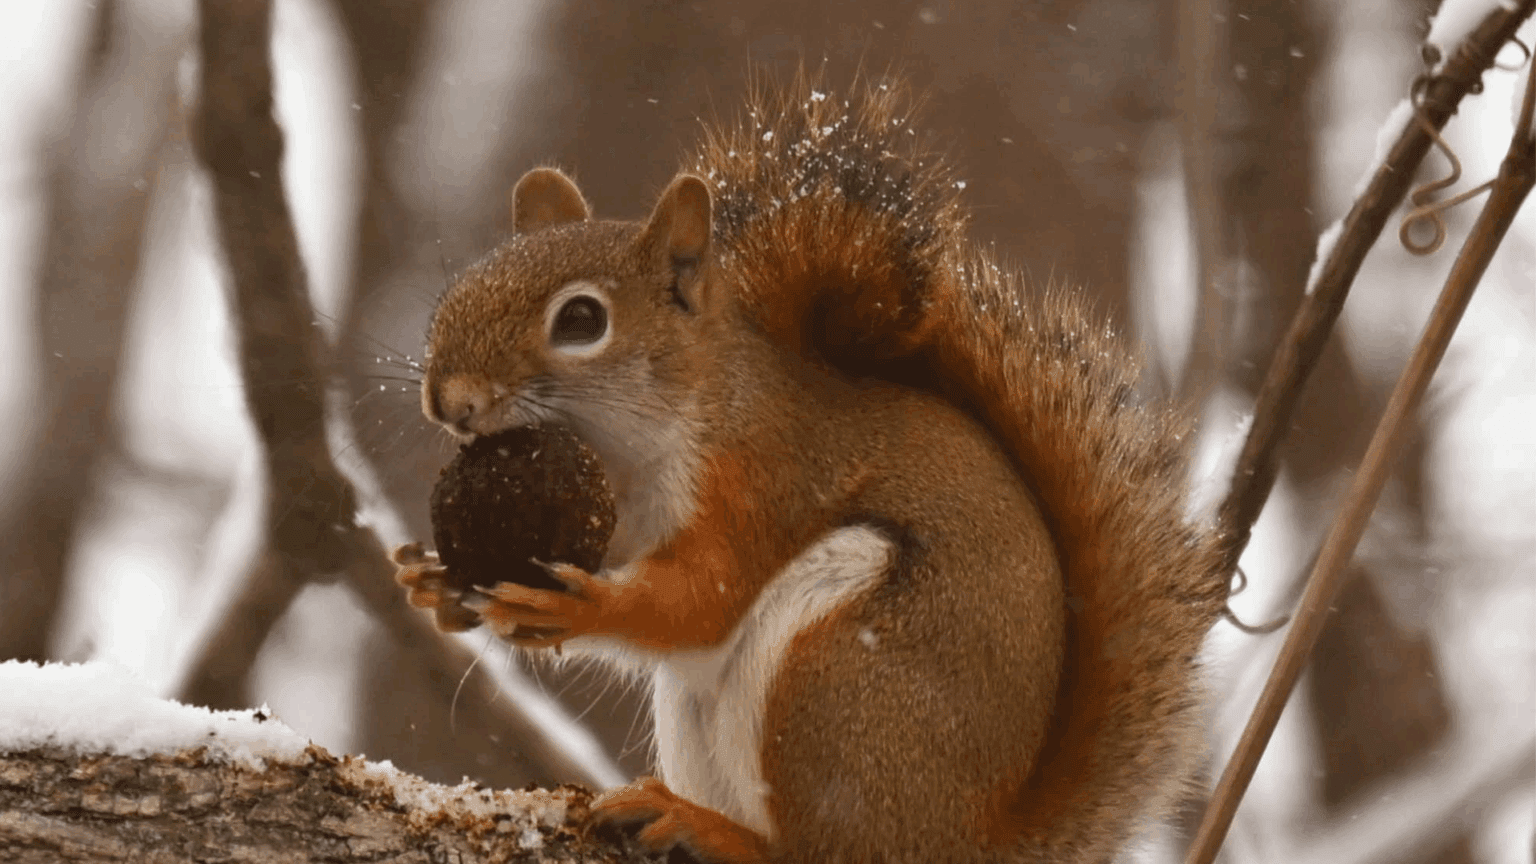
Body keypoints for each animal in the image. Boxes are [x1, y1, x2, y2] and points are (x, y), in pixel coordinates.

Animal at [393, 76, 1228, 864]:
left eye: (580, 320)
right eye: (461, 286)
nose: (446, 400)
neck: (641, 444)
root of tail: (970, 839)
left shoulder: (762, 478)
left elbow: (701, 601)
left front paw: (576, 606)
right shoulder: (625, 518)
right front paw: (434, 585)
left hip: (839, 680)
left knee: (824, 846)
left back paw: (713, 831)